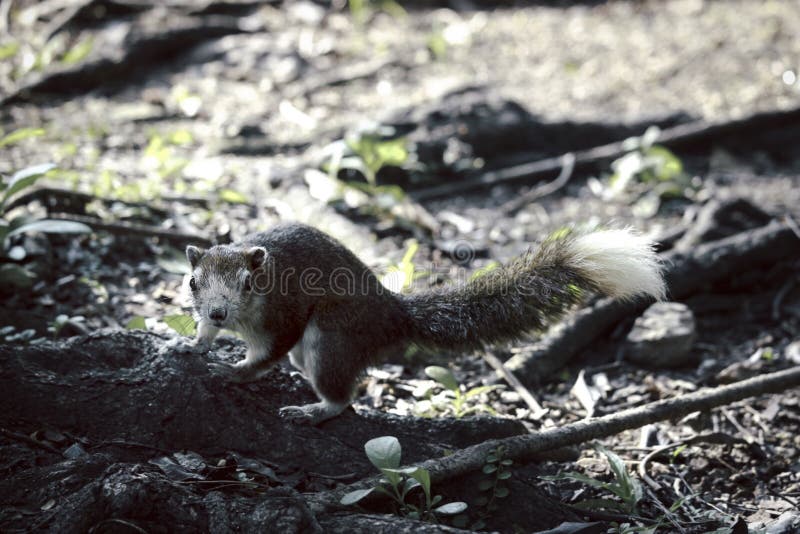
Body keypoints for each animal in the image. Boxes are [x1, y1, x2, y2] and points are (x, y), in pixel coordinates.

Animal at [173, 222, 665, 425]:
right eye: (194, 282)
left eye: (247, 282)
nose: (218, 312)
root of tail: (392, 314)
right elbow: (204, 335)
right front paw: (192, 344)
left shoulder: (284, 314)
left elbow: (268, 352)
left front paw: (234, 372)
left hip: (332, 336)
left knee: (340, 392)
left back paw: (316, 409)